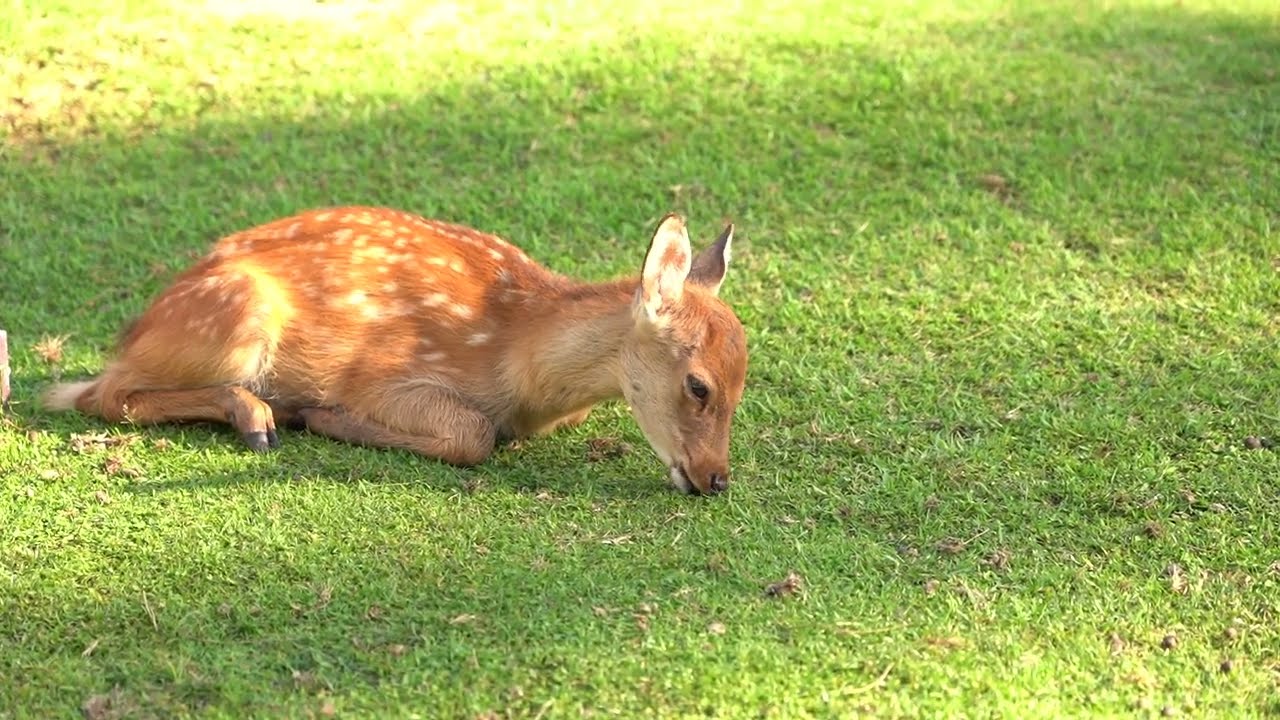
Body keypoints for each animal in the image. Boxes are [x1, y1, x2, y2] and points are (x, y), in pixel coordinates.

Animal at [41, 207, 748, 495]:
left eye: (741, 384)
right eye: (698, 385)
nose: (716, 478)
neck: (519, 357)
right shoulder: (383, 372)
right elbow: (472, 434)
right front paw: (323, 415)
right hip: (238, 316)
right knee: (100, 393)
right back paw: (263, 416)